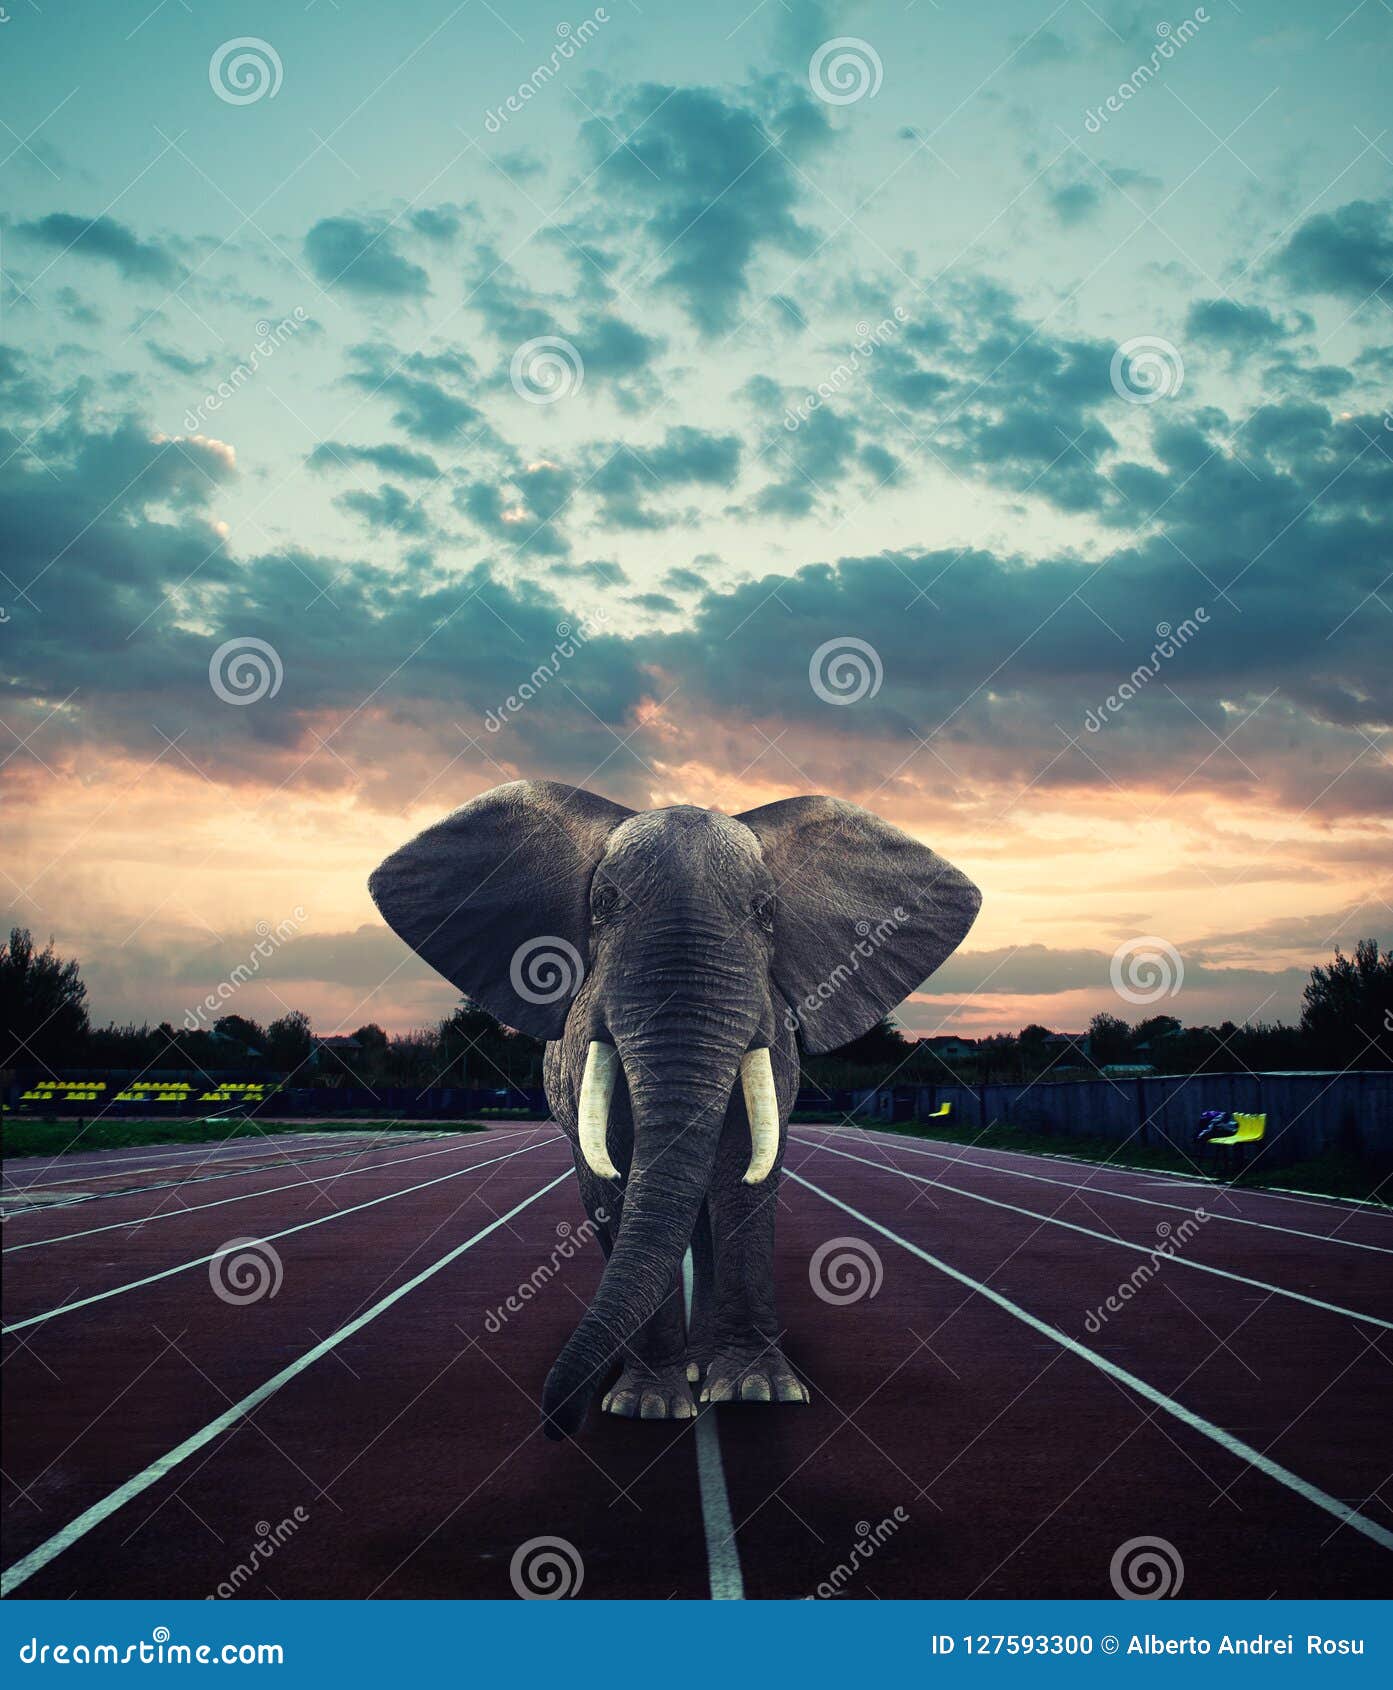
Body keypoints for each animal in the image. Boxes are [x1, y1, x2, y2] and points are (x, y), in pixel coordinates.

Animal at [369, 780, 981, 1440]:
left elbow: (743, 1173)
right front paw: (646, 1407)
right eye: (603, 905)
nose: (559, 1421)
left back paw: (704, 1368)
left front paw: (756, 1394)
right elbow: (616, 1170)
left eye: (765, 911)